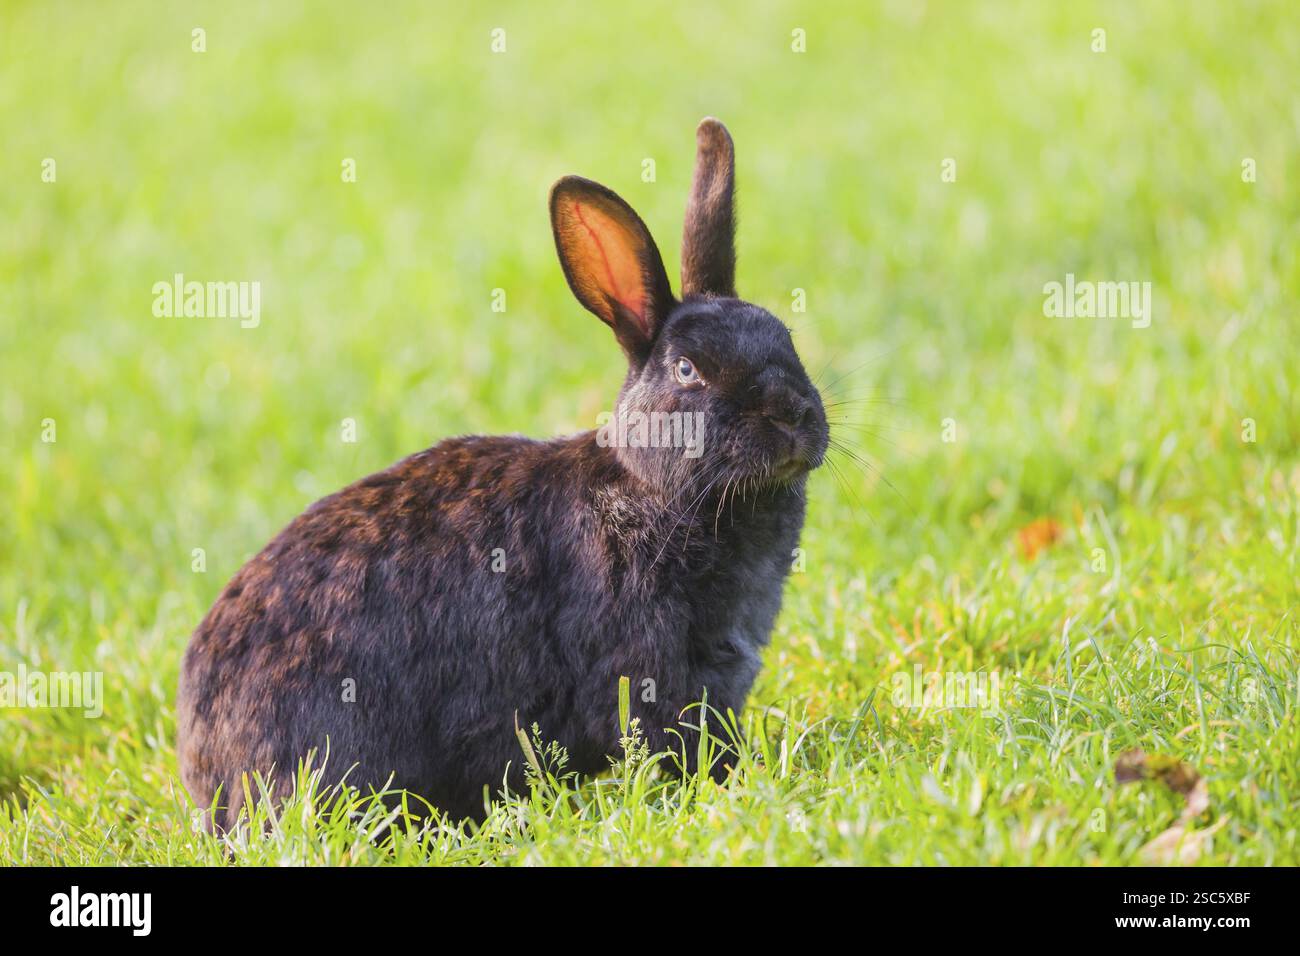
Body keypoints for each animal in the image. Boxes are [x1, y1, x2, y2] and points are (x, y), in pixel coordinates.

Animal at [176, 117, 829, 828]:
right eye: (688, 371)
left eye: (786, 338)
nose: (794, 415)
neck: (653, 489)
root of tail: (204, 771)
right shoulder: (649, 667)